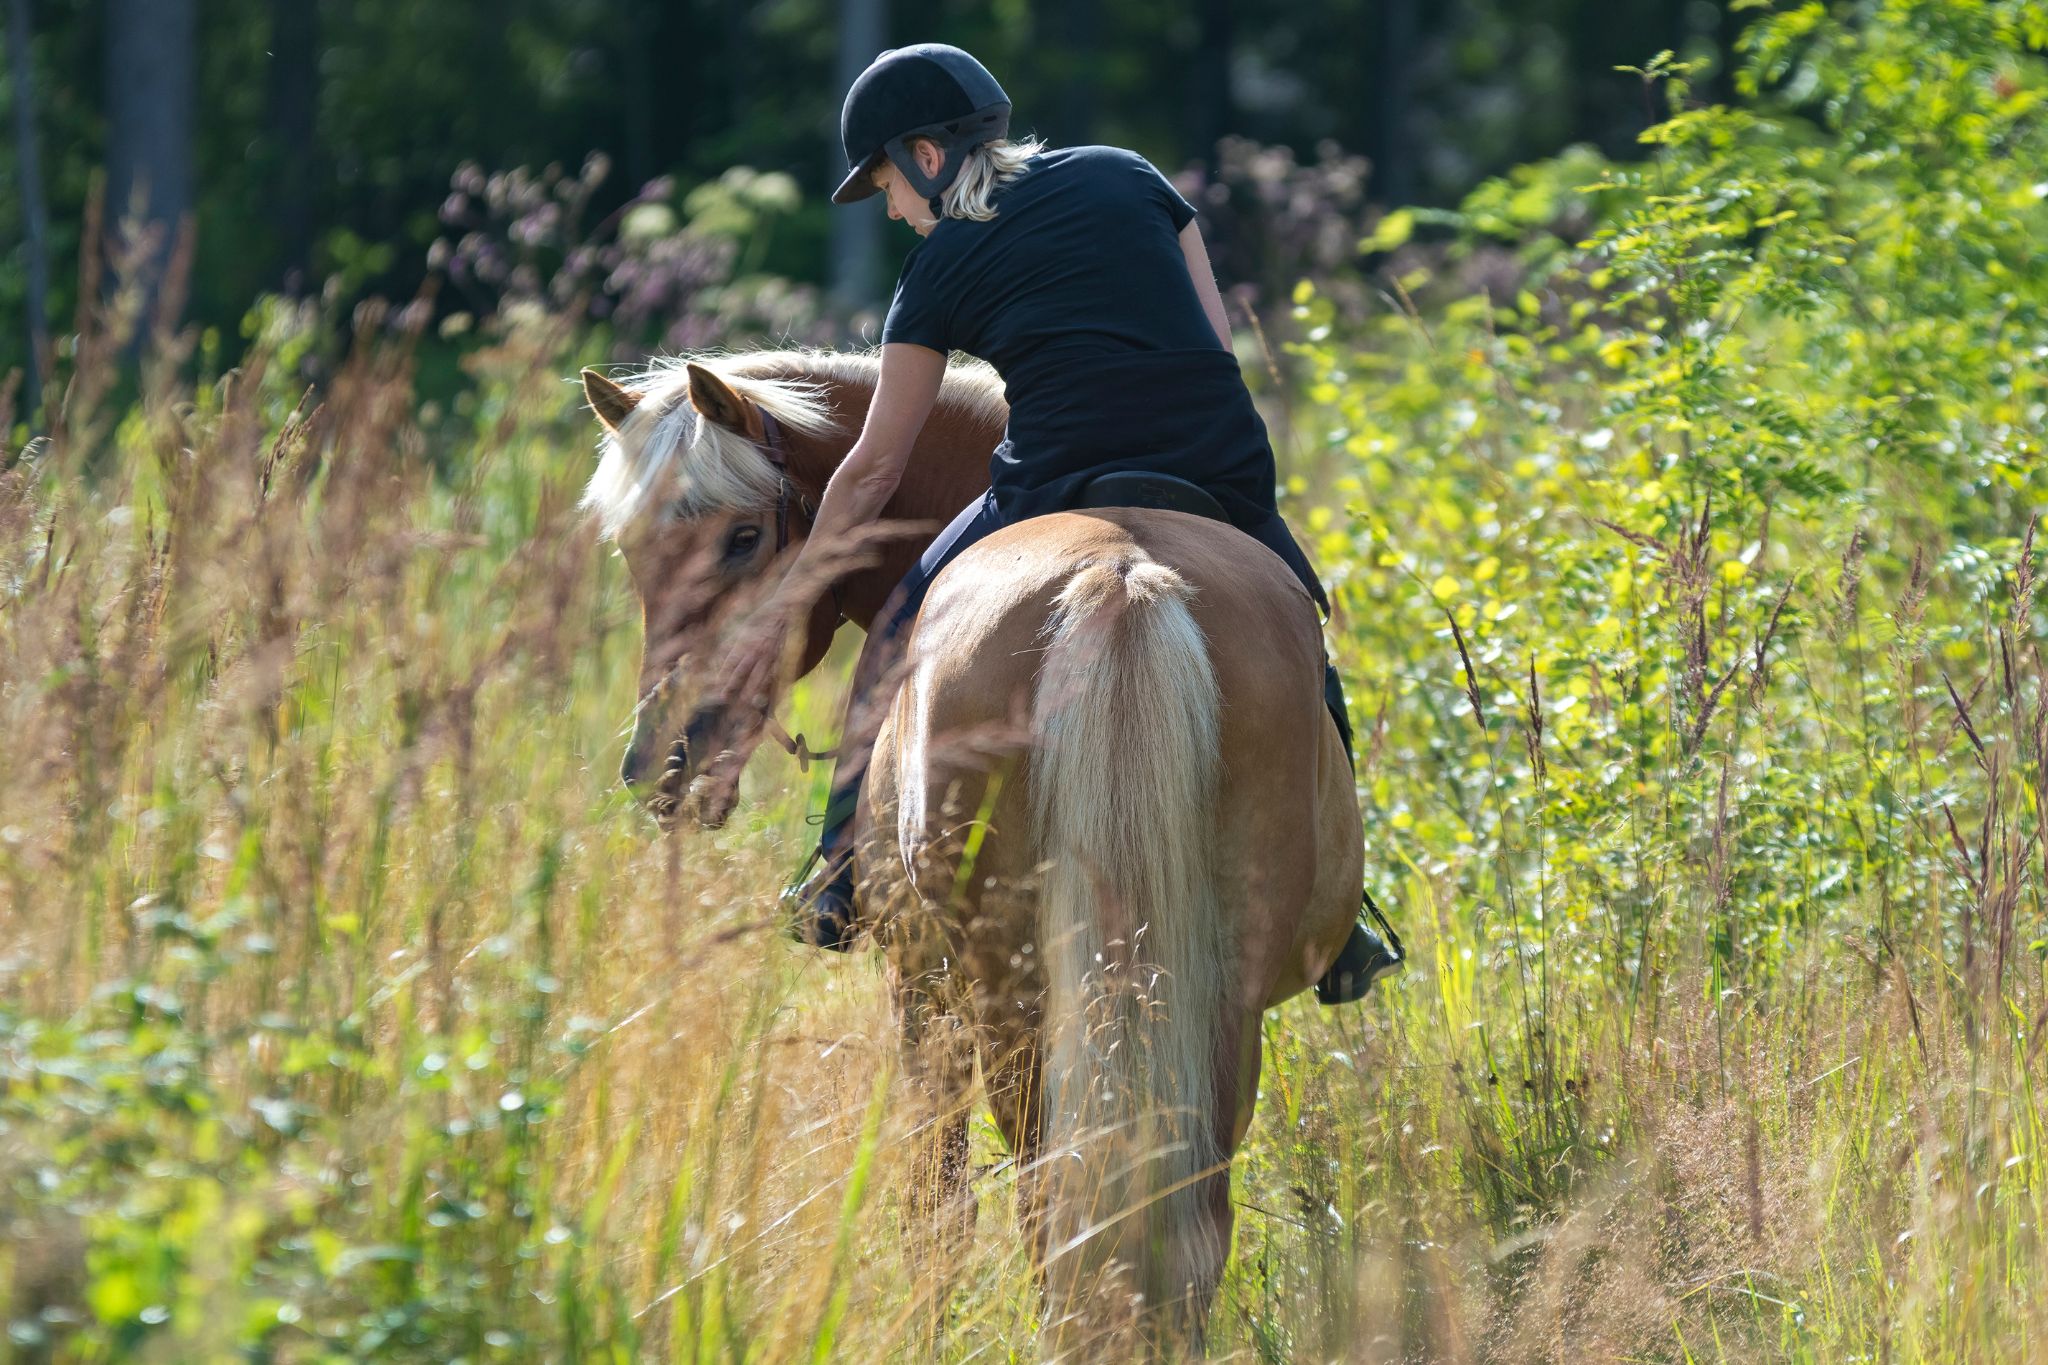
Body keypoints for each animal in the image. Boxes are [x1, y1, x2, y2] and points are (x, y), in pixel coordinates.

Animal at [578, 349, 1364, 1355]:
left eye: (744, 537)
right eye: (632, 551)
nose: (663, 761)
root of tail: (1119, 580)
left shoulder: (918, 985)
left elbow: (934, 1209)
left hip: (1012, 999)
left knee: (1048, 1205)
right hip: (1211, 995)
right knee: (1180, 1218)